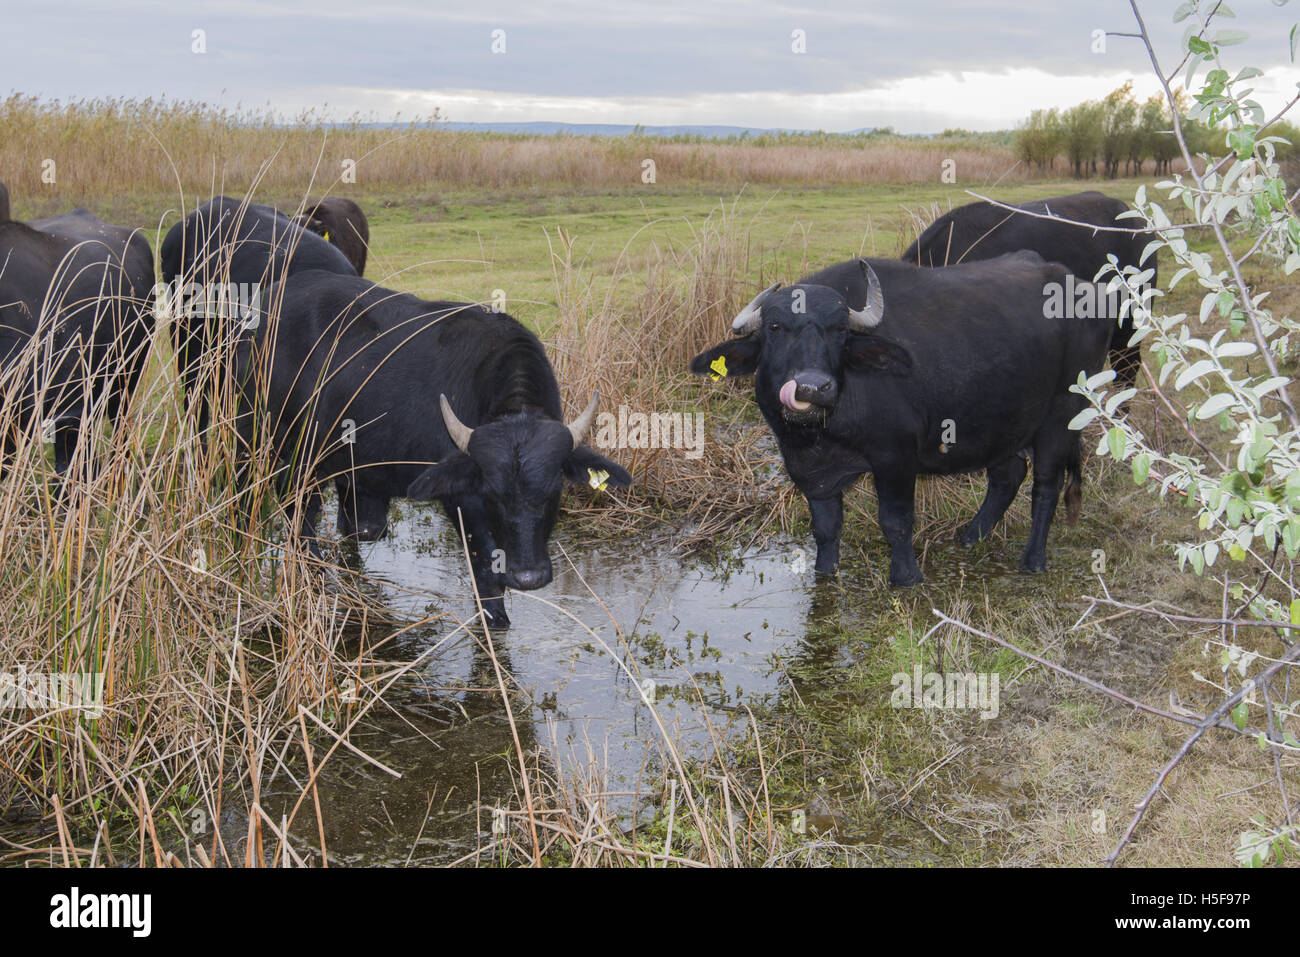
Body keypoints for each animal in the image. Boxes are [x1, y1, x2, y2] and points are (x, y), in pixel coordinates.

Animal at [235, 270, 630, 627]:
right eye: (492, 493)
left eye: (553, 490)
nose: (528, 578)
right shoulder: (463, 503)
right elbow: (485, 573)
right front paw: (495, 621)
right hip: (257, 440)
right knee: (283, 509)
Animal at [691, 254, 1111, 585]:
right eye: (775, 327)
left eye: (839, 330)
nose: (812, 387)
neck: (822, 434)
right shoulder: (809, 473)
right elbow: (825, 528)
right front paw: (825, 572)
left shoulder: (895, 458)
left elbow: (895, 521)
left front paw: (906, 577)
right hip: (1001, 423)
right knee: (1008, 475)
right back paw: (971, 536)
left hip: (1061, 416)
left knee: (1046, 486)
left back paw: (1032, 559)